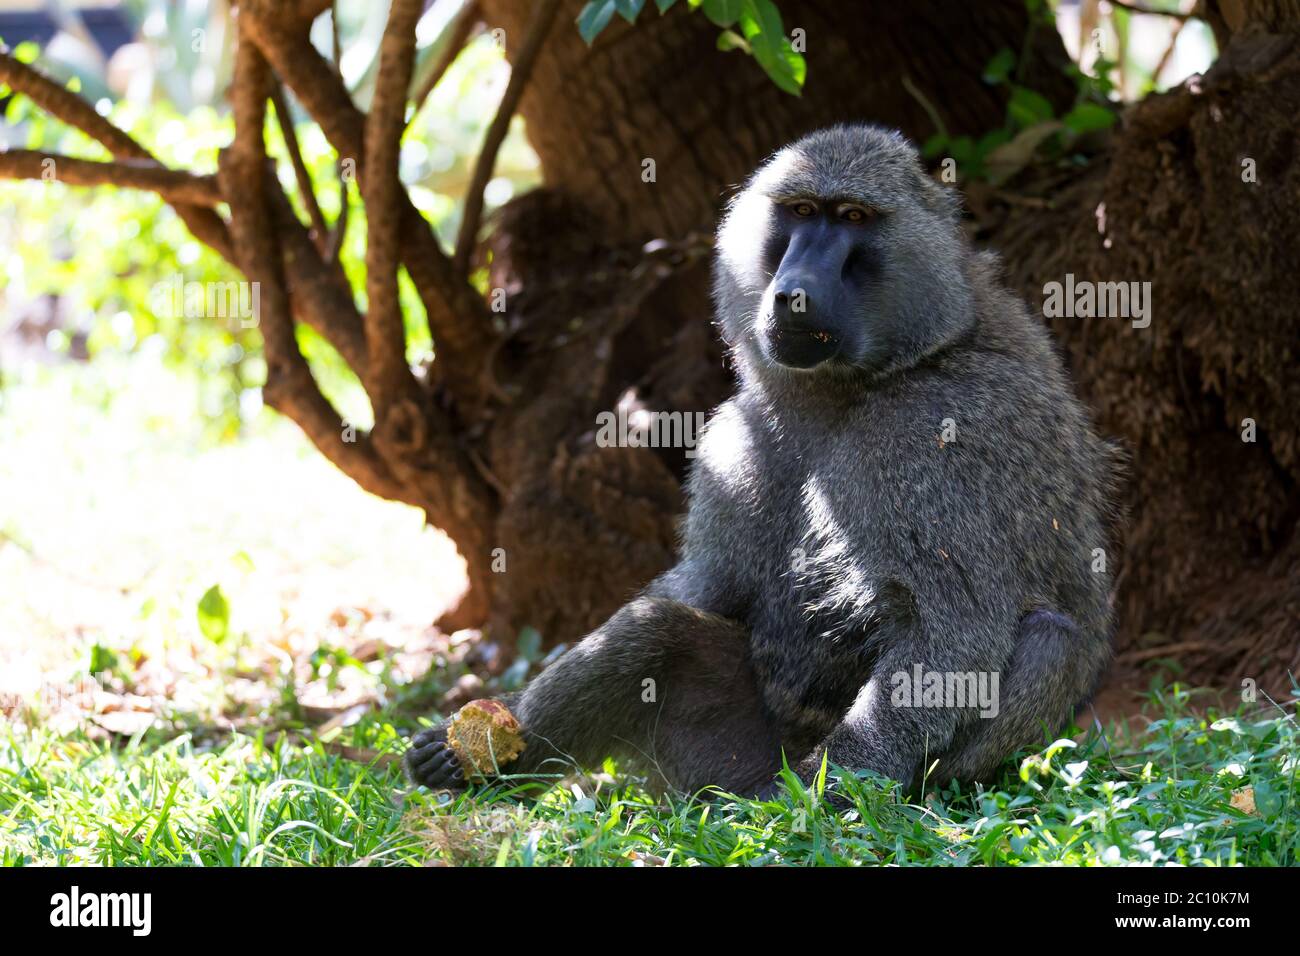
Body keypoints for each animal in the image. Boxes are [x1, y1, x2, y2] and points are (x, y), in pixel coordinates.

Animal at [406, 124, 1117, 799]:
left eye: (853, 217)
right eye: (800, 211)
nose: (794, 291)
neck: (869, 376)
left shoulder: (941, 431)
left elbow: (947, 632)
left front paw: (820, 799)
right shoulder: (737, 434)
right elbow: (707, 588)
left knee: (1049, 639)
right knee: (651, 629)